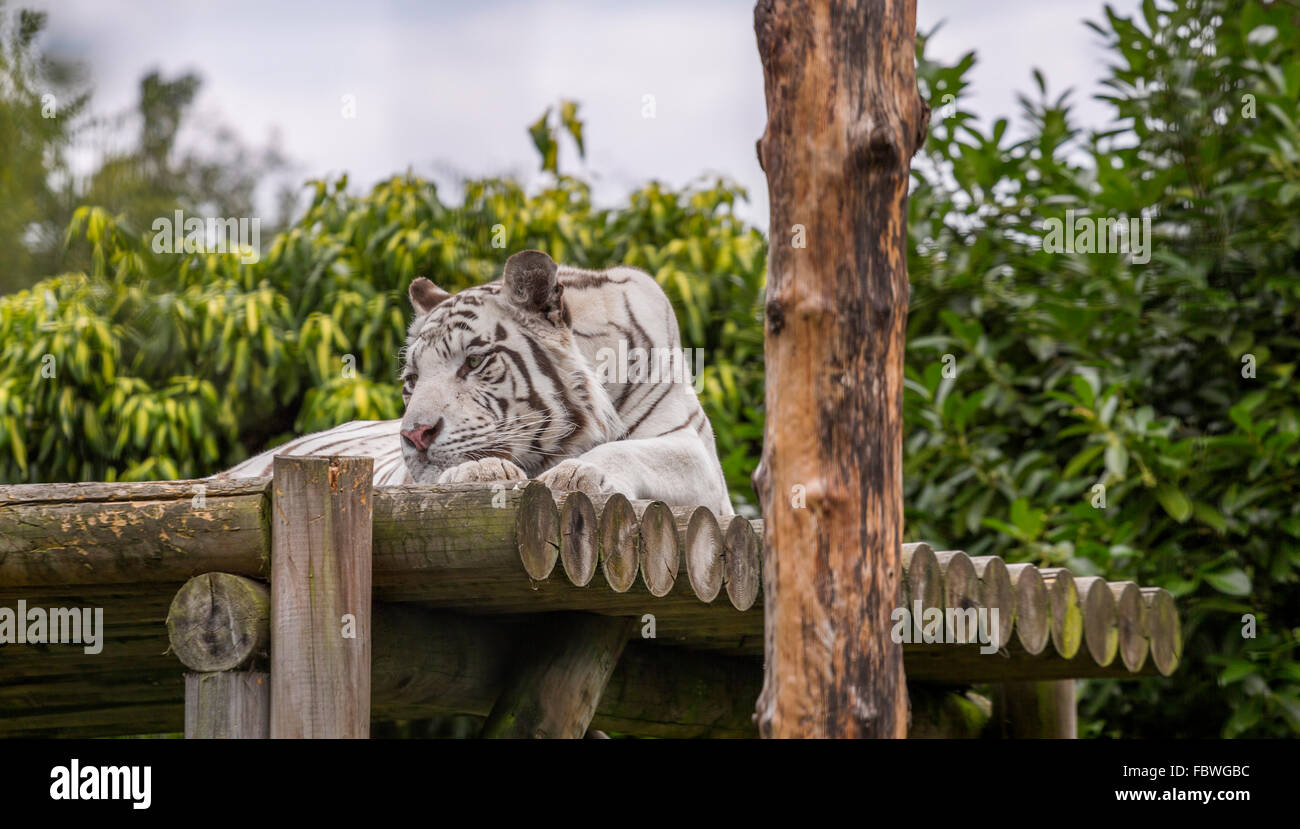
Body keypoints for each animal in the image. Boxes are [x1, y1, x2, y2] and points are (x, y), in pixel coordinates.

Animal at [215, 250, 733, 516]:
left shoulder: (697, 456)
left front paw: (577, 474)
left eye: (475, 362)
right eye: (411, 380)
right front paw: (482, 472)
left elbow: (636, 452)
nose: (414, 435)